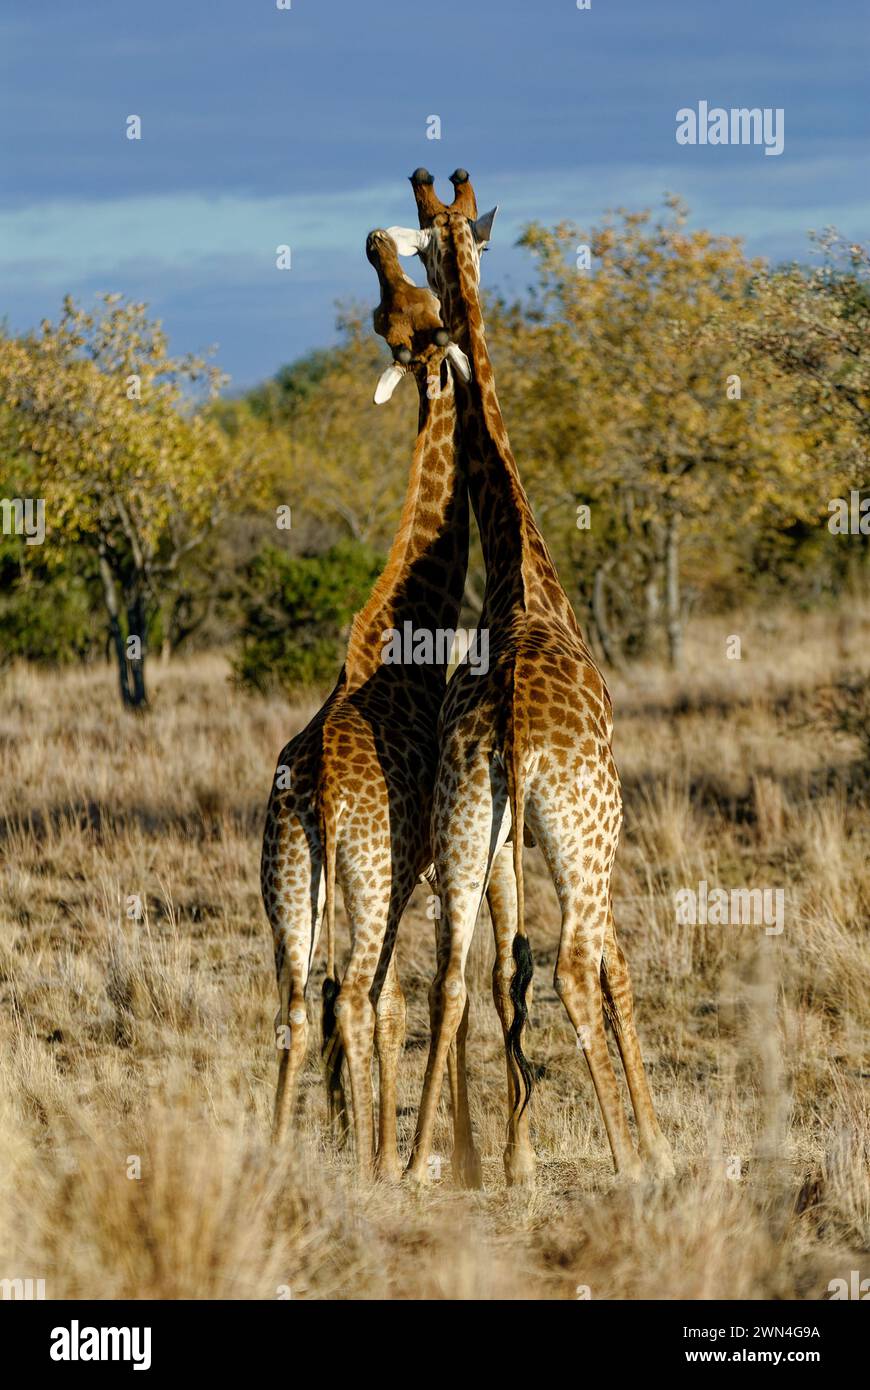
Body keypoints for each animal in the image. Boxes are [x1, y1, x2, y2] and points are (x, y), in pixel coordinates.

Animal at [386, 169, 676, 1187]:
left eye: (436, 238)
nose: (419, 186)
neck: (523, 578)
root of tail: (512, 721)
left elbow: (496, 976)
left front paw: (516, 1157)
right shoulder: (607, 825)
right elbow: (618, 971)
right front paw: (660, 1145)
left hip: (467, 816)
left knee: (450, 973)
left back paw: (416, 1164)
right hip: (581, 828)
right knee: (577, 967)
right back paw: (628, 1162)